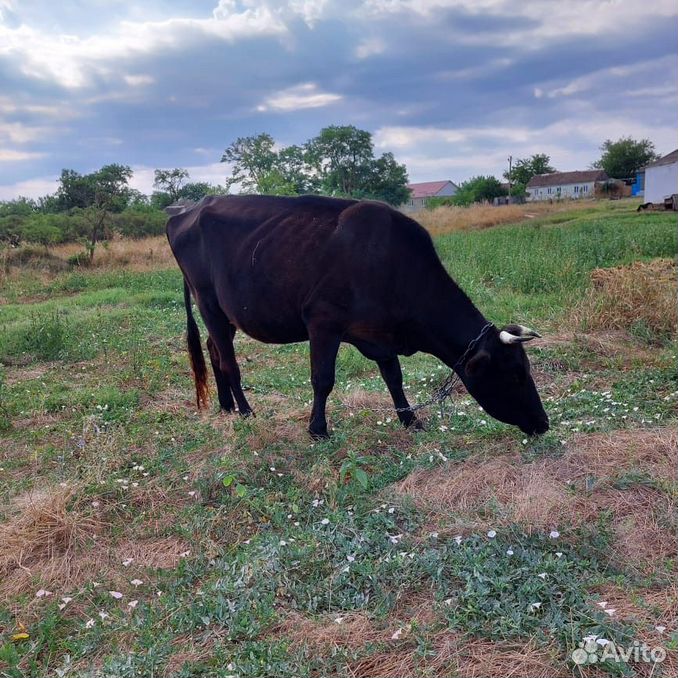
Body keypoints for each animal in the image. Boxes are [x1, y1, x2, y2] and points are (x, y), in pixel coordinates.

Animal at [167, 195, 548, 440]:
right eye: (516, 374)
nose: (543, 423)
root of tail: (188, 208)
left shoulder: (379, 333)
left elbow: (393, 377)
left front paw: (410, 419)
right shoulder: (323, 322)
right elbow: (323, 379)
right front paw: (318, 430)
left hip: (226, 313)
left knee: (213, 349)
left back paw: (226, 407)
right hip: (209, 302)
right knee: (228, 360)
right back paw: (246, 411)